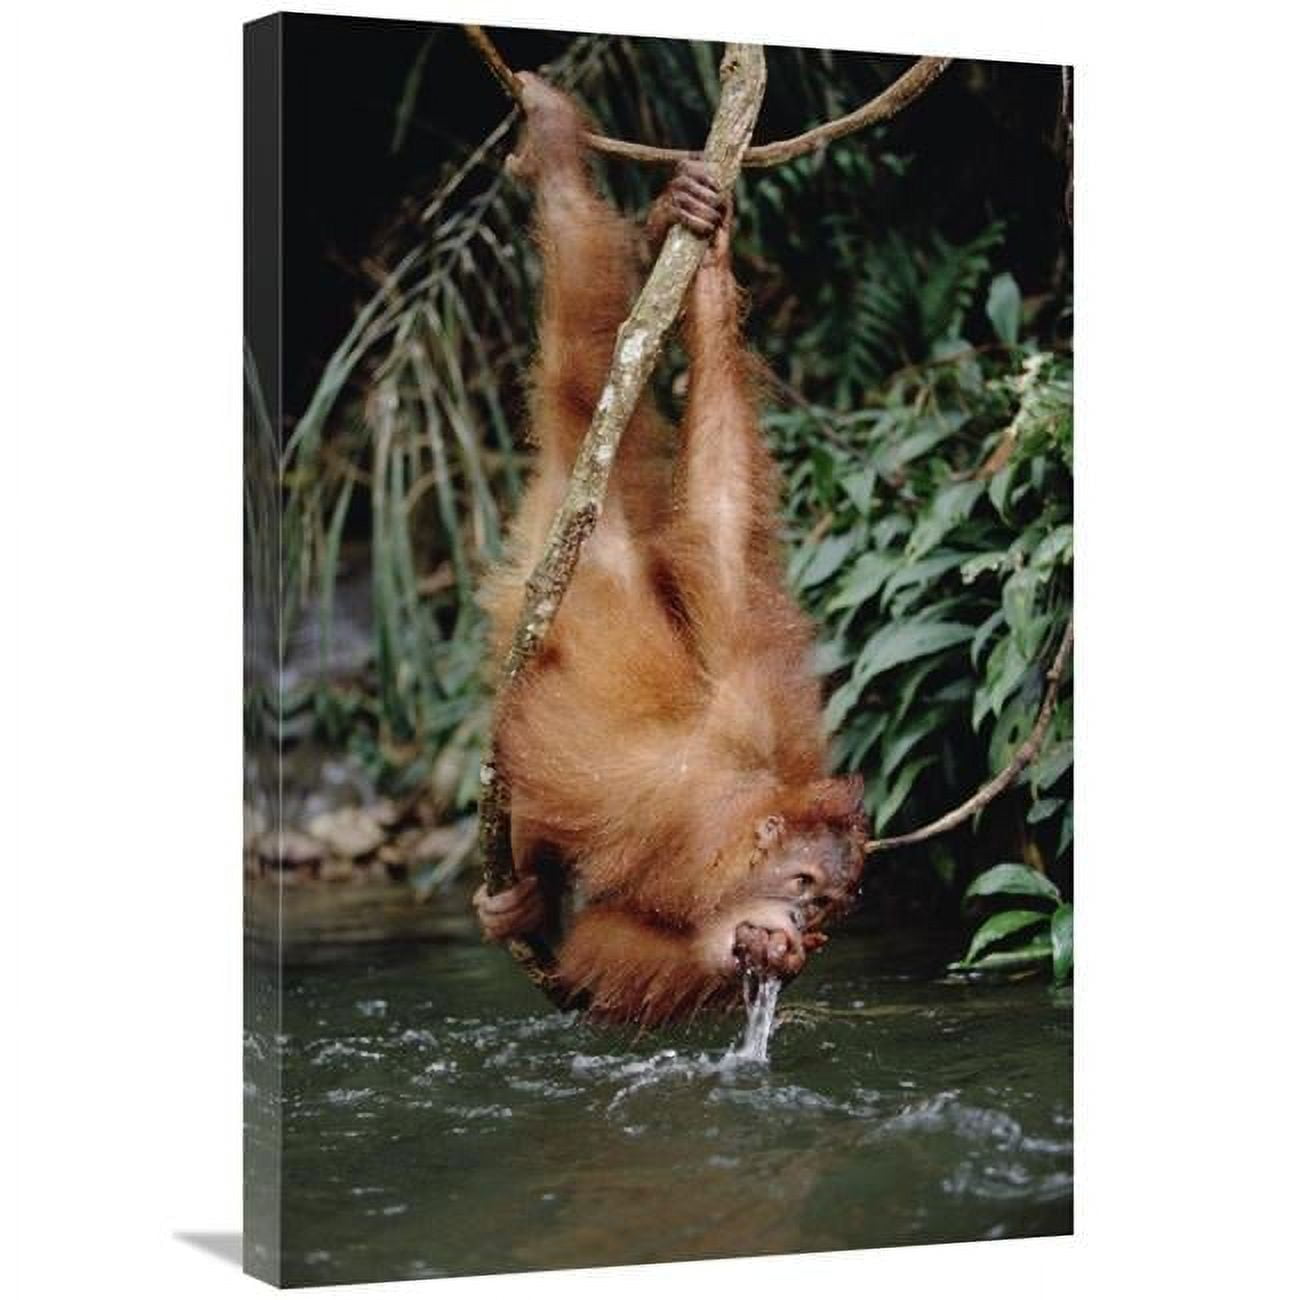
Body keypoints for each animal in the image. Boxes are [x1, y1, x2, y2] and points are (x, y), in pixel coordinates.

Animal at [473, 74, 869, 1025]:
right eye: (802, 884)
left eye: (829, 906)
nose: (800, 925)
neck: (732, 812)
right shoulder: (733, 735)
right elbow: (719, 522)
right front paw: (713, 265)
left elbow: (608, 943)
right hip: (583, 512)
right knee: (583, 344)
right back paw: (564, 164)